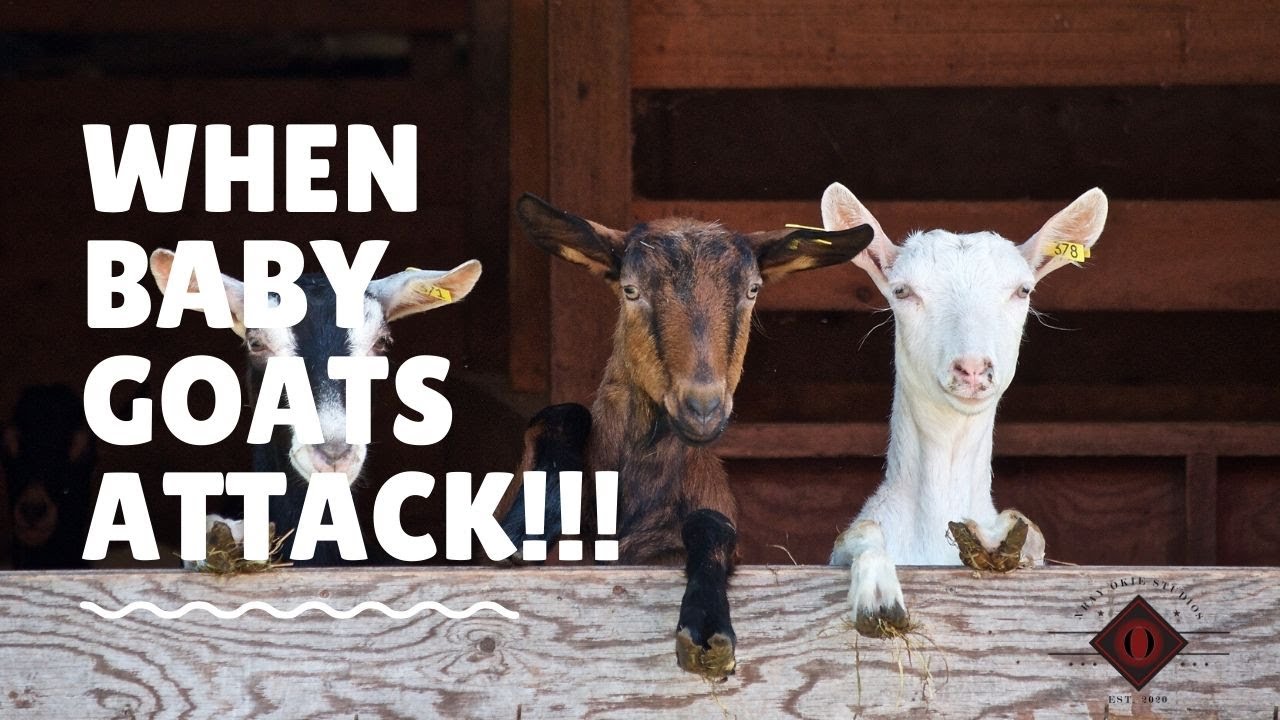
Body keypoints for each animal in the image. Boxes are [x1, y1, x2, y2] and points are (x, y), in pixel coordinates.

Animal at [502, 193, 873, 677]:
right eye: (631, 289)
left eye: (753, 290)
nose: (702, 408)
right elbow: (562, 414)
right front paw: (526, 528)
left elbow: (712, 524)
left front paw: (706, 628)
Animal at [822, 182, 1107, 635]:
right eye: (902, 291)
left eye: (1023, 290)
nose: (972, 368)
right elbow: (860, 532)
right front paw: (879, 598)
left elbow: (1031, 533)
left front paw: (996, 538)